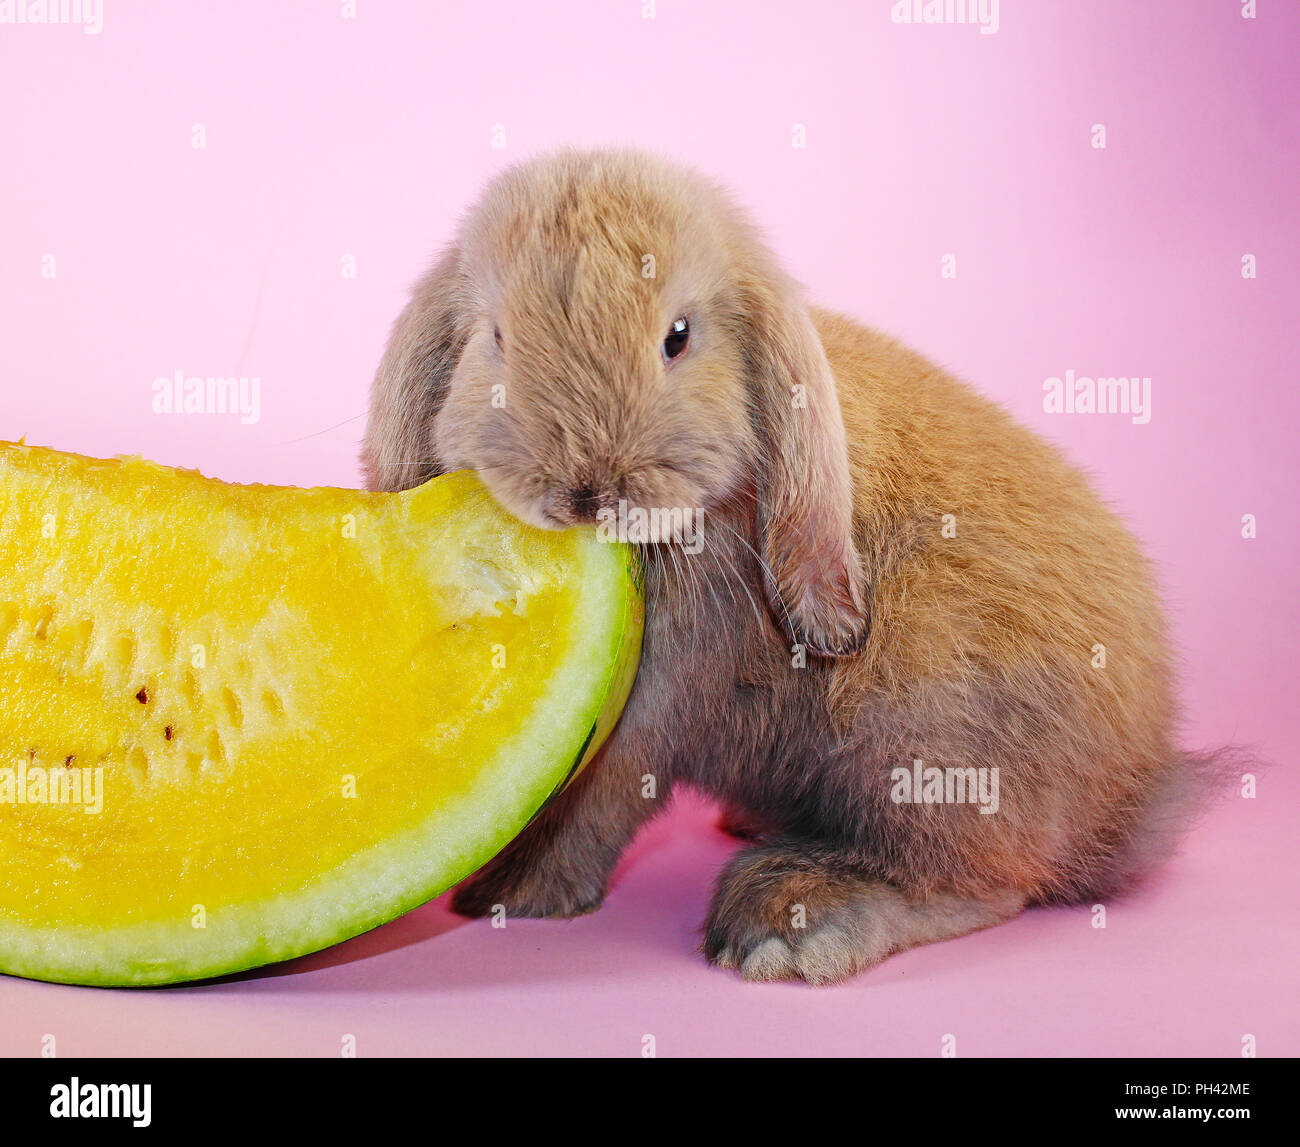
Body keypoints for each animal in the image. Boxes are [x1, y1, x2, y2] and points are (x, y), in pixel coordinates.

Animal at [360, 147, 1227, 984]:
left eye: (678, 335)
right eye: (497, 338)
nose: (589, 489)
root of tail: (1135, 792)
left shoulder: (669, 690)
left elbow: (605, 786)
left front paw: (512, 889)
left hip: (920, 727)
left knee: (983, 880)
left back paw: (791, 920)